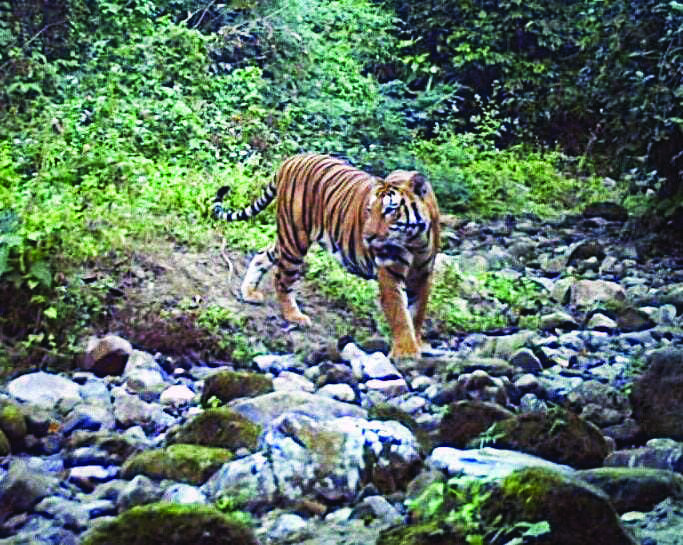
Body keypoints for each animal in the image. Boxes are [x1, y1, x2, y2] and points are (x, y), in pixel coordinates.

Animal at [211, 153, 440, 360]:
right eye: (369, 210)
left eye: (390, 210)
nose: (367, 237)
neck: (414, 240)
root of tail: (290, 160)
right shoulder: (390, 273)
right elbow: (399, 314)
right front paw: (406, 352)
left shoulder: (423, 275)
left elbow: (417, 313)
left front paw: (417, 343)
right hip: (295, 238)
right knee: (282, 280)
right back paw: (294, 316)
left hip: (286, 241)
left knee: (263, 254)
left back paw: (249, 292)